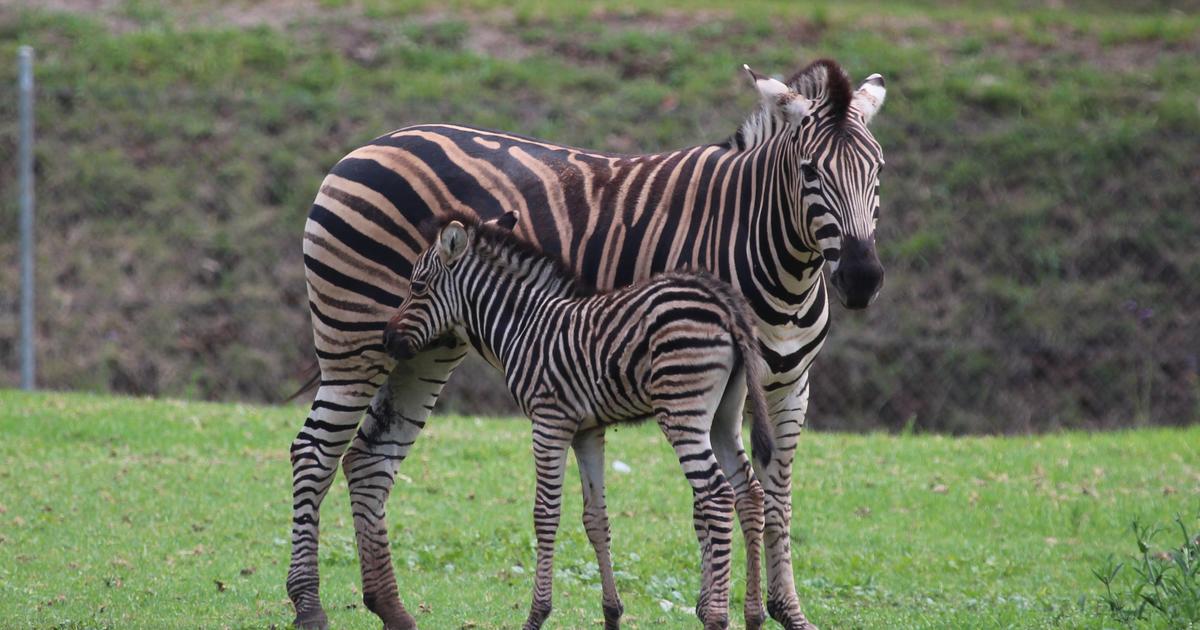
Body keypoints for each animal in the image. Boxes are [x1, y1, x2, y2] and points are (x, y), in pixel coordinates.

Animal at [383, 213, 775, 630]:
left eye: (416, 286)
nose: (387, 338)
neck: (523, 326)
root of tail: (723, 300)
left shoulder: (548, 421)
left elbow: (545, 514)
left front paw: (536, 614)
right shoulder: (588, 430)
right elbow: (596, 518)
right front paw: (612, 614)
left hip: (682, 411)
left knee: (718, 495)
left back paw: (717, 616)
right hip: (724, 416)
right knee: (749, 493)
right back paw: (753, 615)